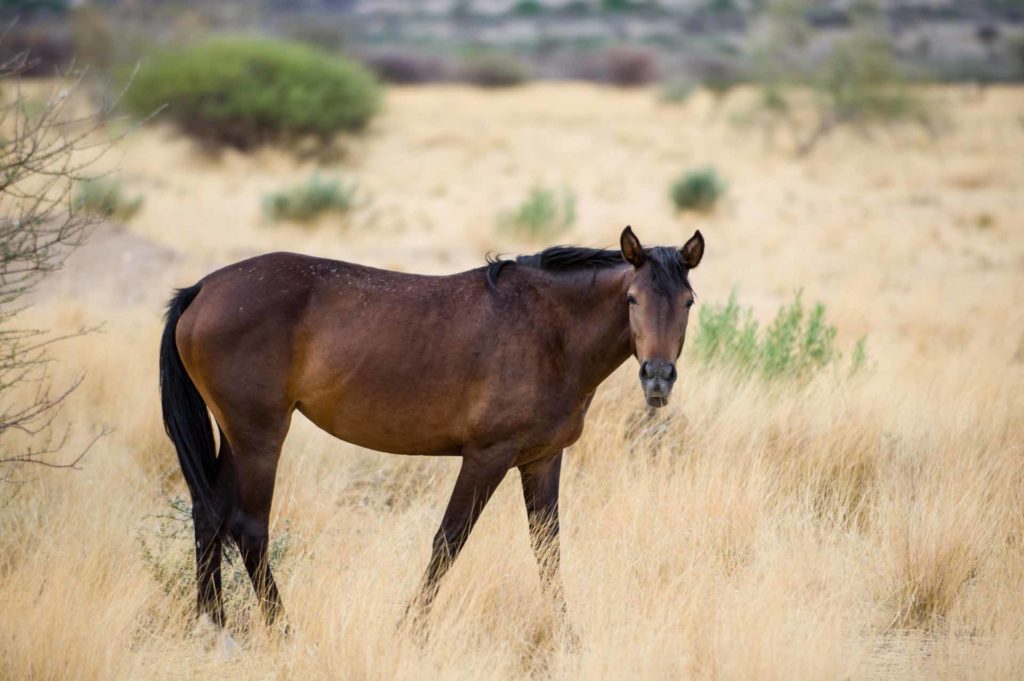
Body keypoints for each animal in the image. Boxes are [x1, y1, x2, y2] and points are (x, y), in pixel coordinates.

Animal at [159, 225, 704, 634]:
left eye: (688, 302)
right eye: (632, 299)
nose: (658, 377)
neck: (549, 330)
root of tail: (203, 289)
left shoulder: (542, 460)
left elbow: (548, 550)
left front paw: (568, 637)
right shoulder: (487, 457)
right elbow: (449, 542)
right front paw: (410, 630)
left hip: (235, 437)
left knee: (210, 517)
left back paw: (214, 628)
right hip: (260, 436)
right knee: (249, 528)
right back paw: (282, 631)